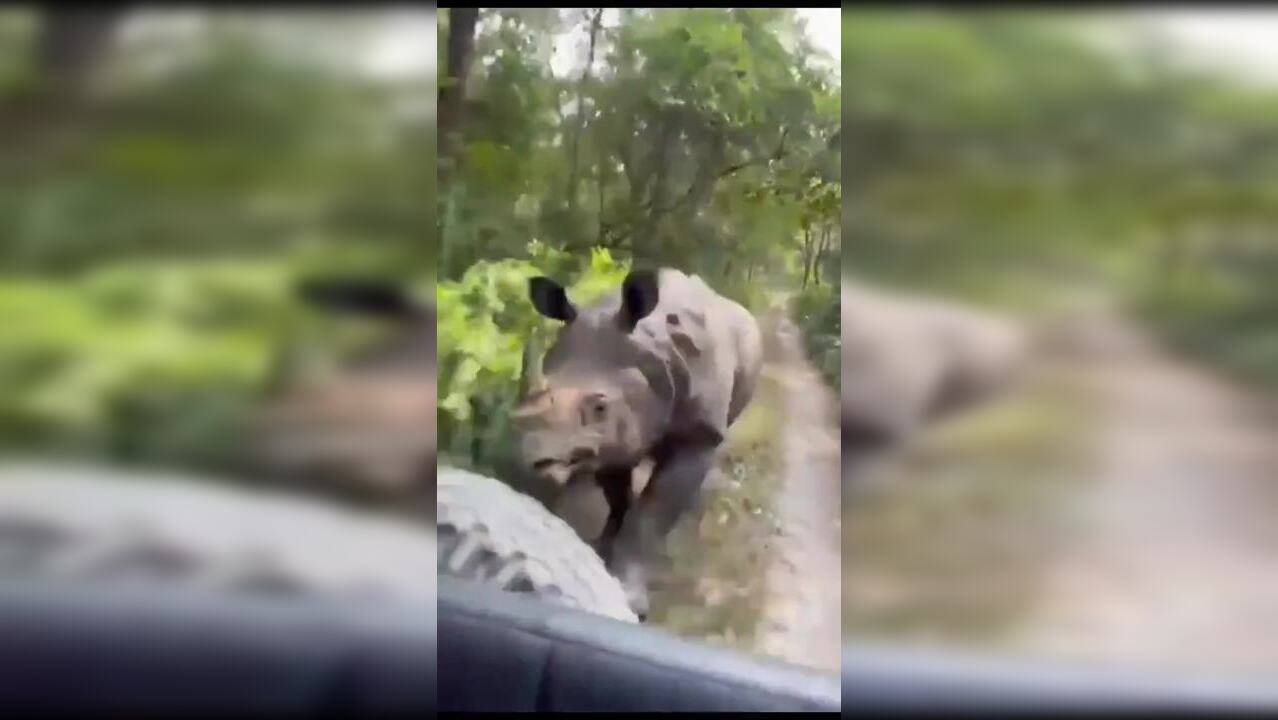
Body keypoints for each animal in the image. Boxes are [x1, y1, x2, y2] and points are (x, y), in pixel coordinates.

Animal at [514, 268, 763, 619]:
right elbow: (618, 497)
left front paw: (632, 599)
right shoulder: (609, 442)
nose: (536, 459)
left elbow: (650, 515)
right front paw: (601, 550)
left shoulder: (697, 436)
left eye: (600, 408)